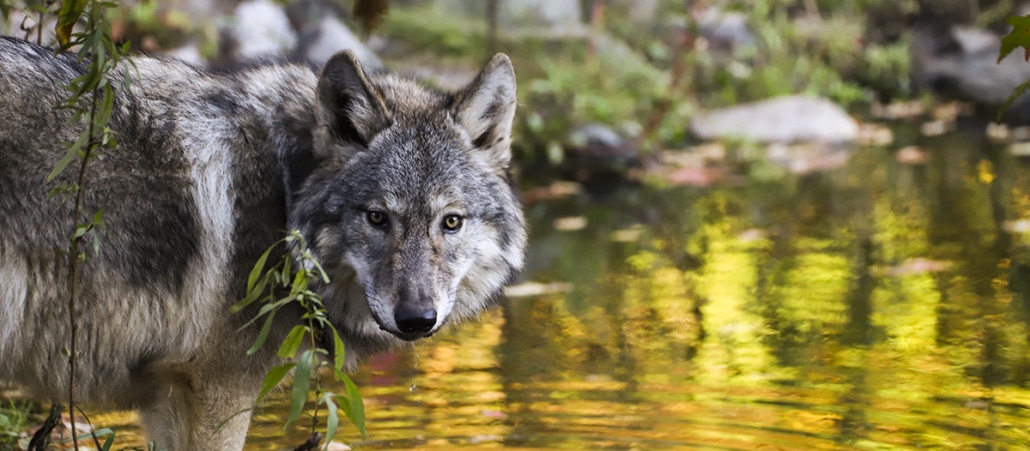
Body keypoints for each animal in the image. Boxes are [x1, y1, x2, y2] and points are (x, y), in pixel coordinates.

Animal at [0, 36, 526, 449]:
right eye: (377, 217)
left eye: (451, 222)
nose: (417, 319)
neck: (283, 195)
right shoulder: (219, 394)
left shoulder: (167, 396)